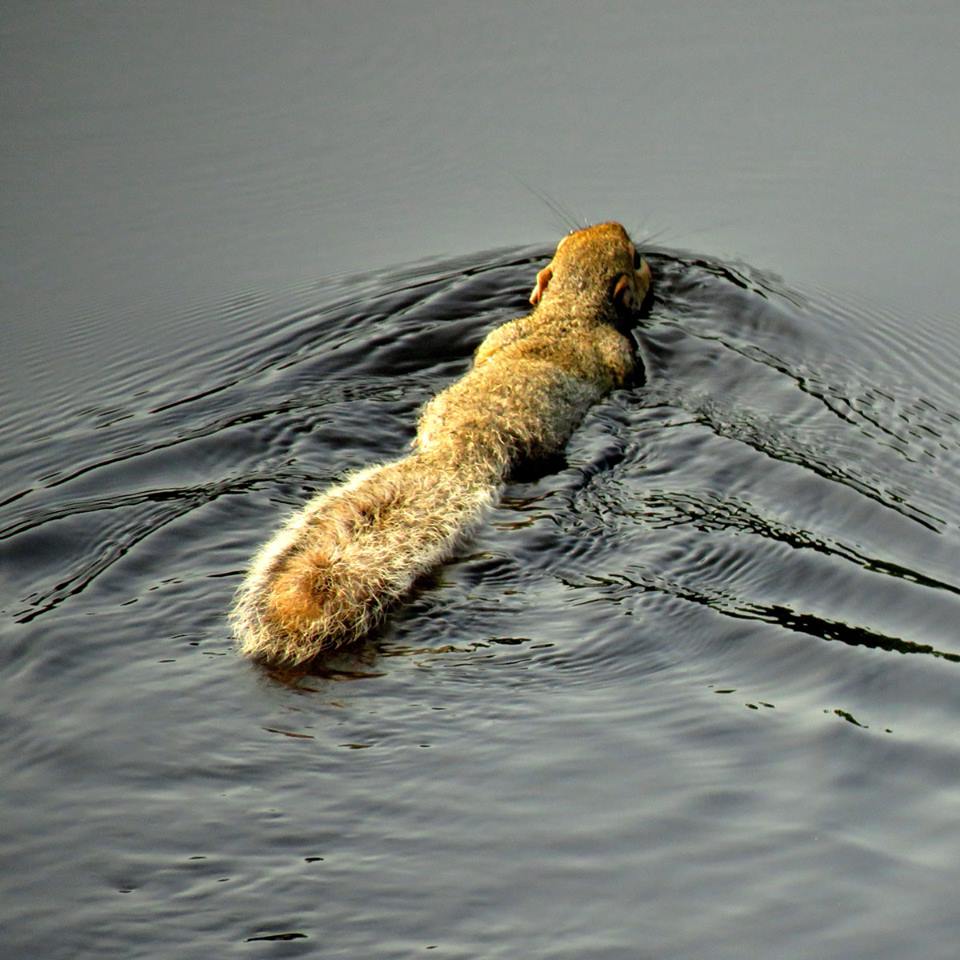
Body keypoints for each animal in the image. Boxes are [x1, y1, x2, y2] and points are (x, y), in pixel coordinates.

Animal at [232, 222, 652, 666]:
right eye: (637, 258)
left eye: (564, 243)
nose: (616, 226)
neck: (569, 310)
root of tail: (460, 448)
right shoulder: (616, 350)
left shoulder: (504, 331)